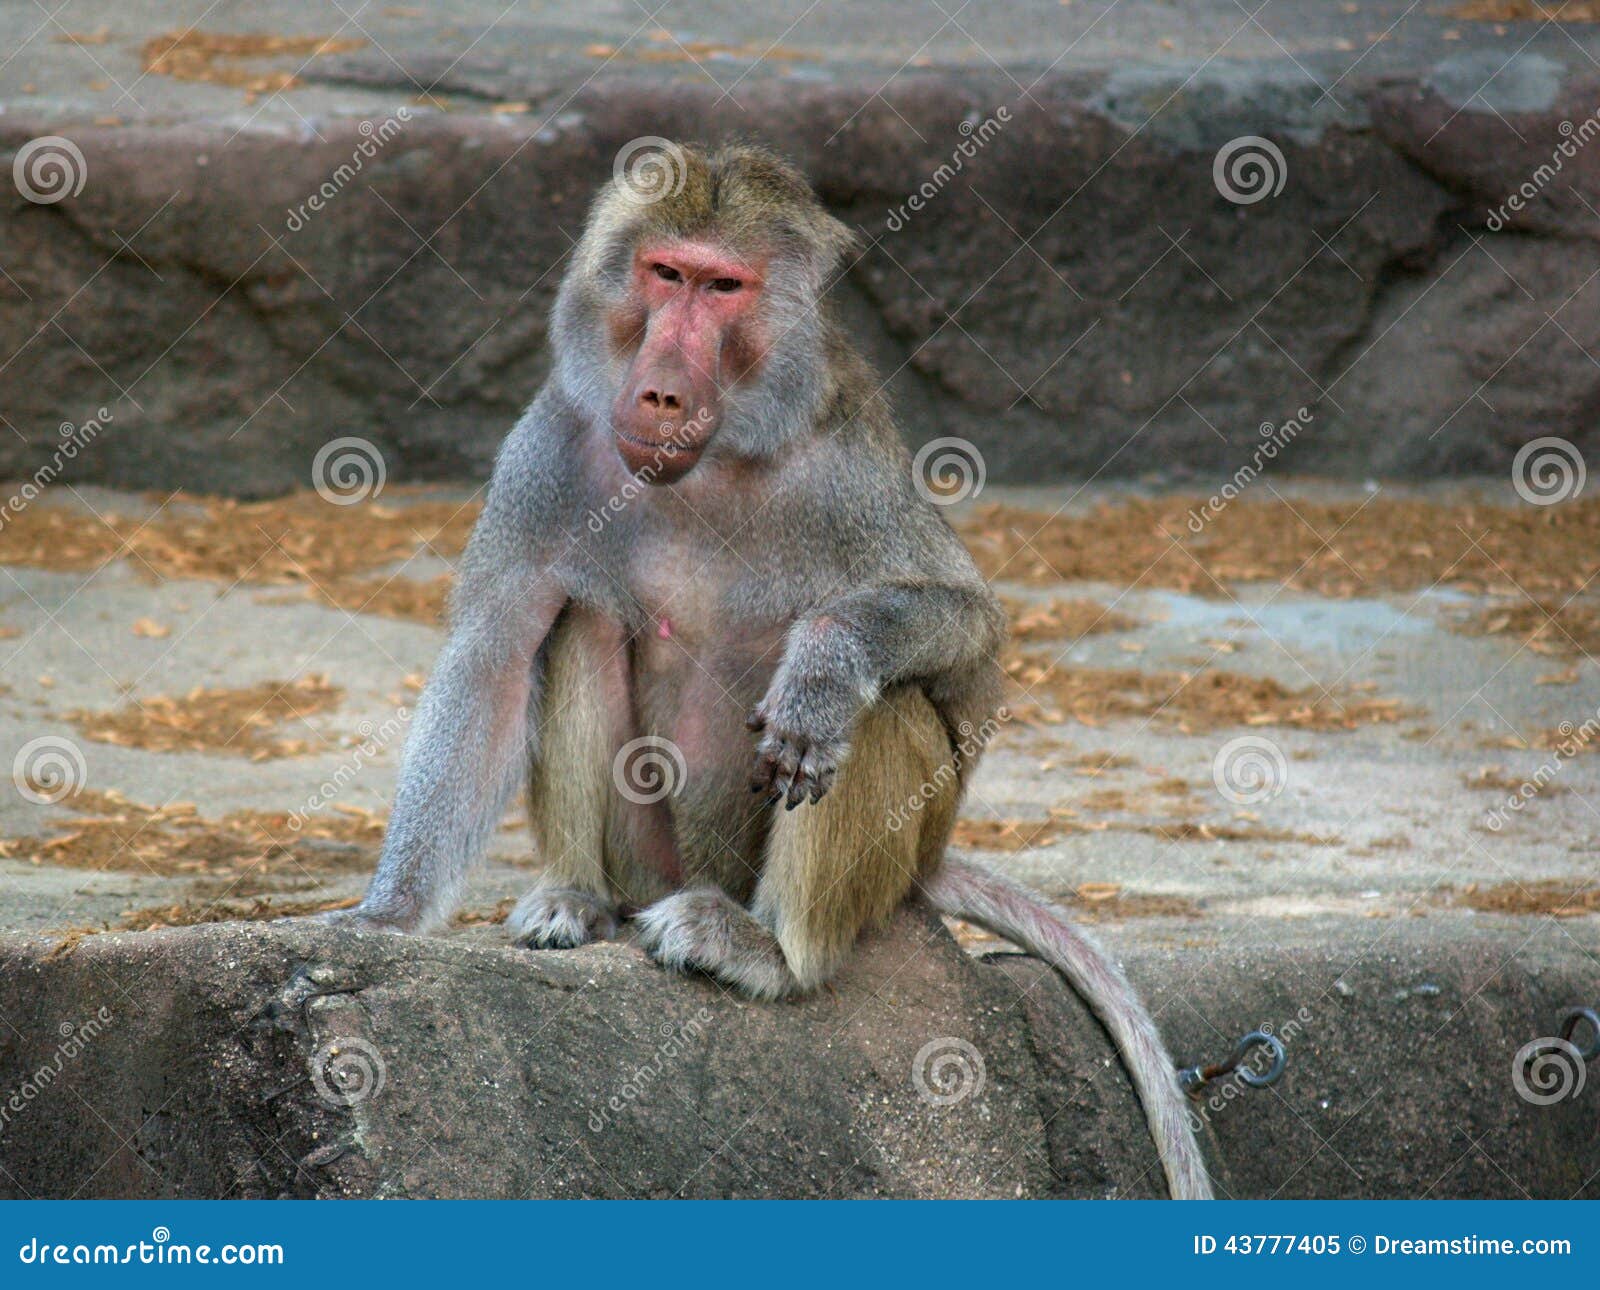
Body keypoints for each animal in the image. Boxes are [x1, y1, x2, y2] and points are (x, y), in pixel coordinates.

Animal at [324, 142, 1211, 1199]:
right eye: (665, 274)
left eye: (724, 288)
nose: (661, 392)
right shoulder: (549, 448)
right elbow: (496, 653)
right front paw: (386, 918)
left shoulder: (845, 461)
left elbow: (967, 641)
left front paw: (825, 669)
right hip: (652, 860)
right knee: (582, 622)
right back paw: (579, 901)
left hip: (867, 865)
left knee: (884, 708)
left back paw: (770, 947)